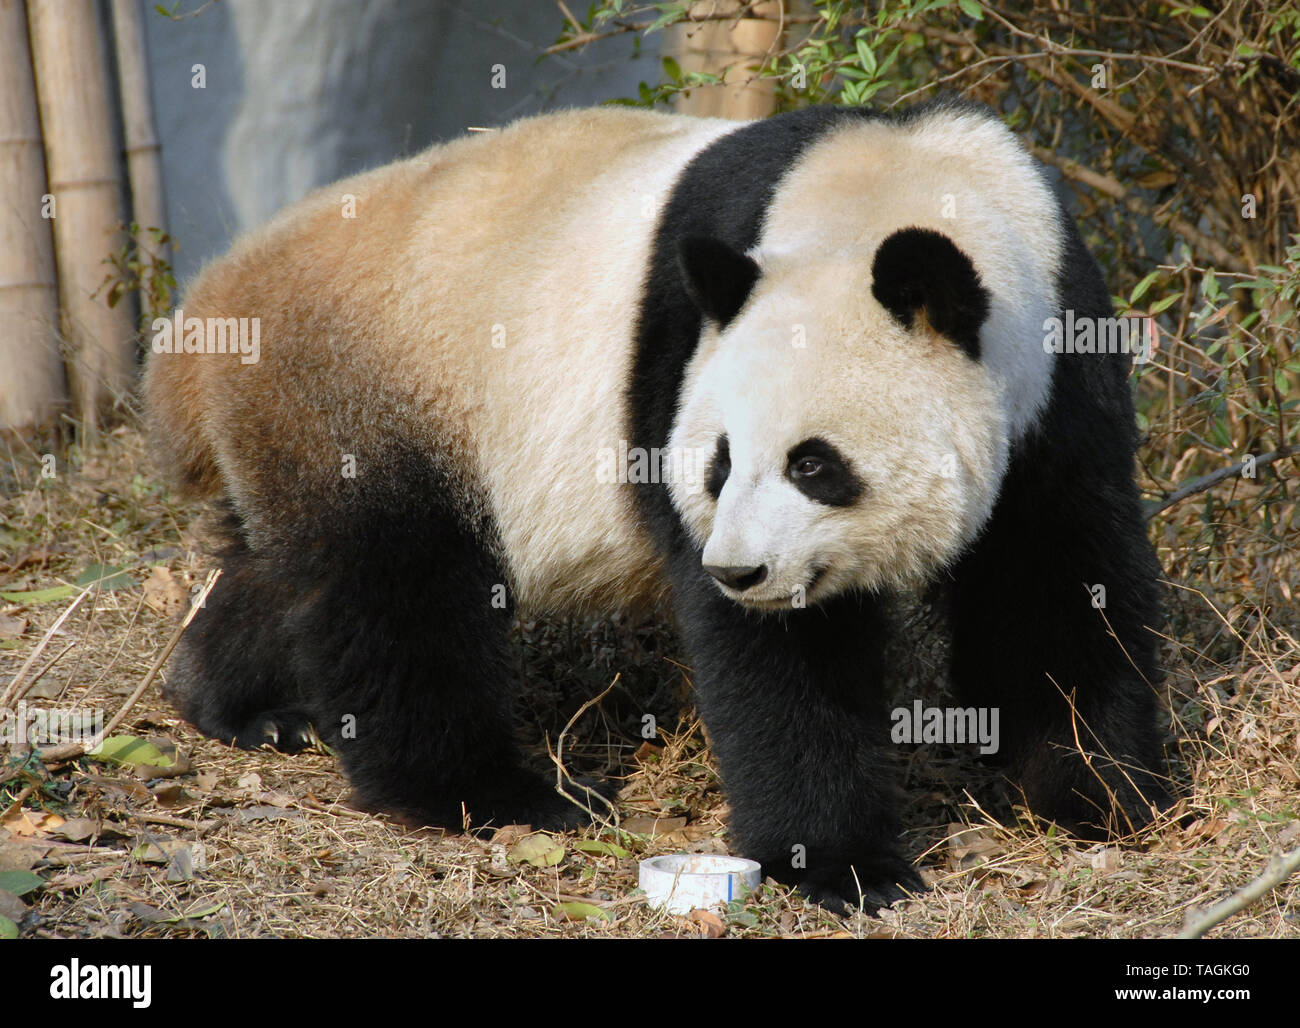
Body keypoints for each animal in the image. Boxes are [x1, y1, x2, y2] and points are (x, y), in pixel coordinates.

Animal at [145, 97, 1170, 911]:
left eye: (814, 465)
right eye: (718, 462)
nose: (740, 570)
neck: (897, 186)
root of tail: (207, 315)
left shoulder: (1061, 359)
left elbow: (1057, 576)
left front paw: (1098, 796)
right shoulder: (682, 357)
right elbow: (780, 660)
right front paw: (845, 865)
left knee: (284, 571)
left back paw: (241, 705)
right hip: (370, 396)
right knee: (395, 591)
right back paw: (493, 793)